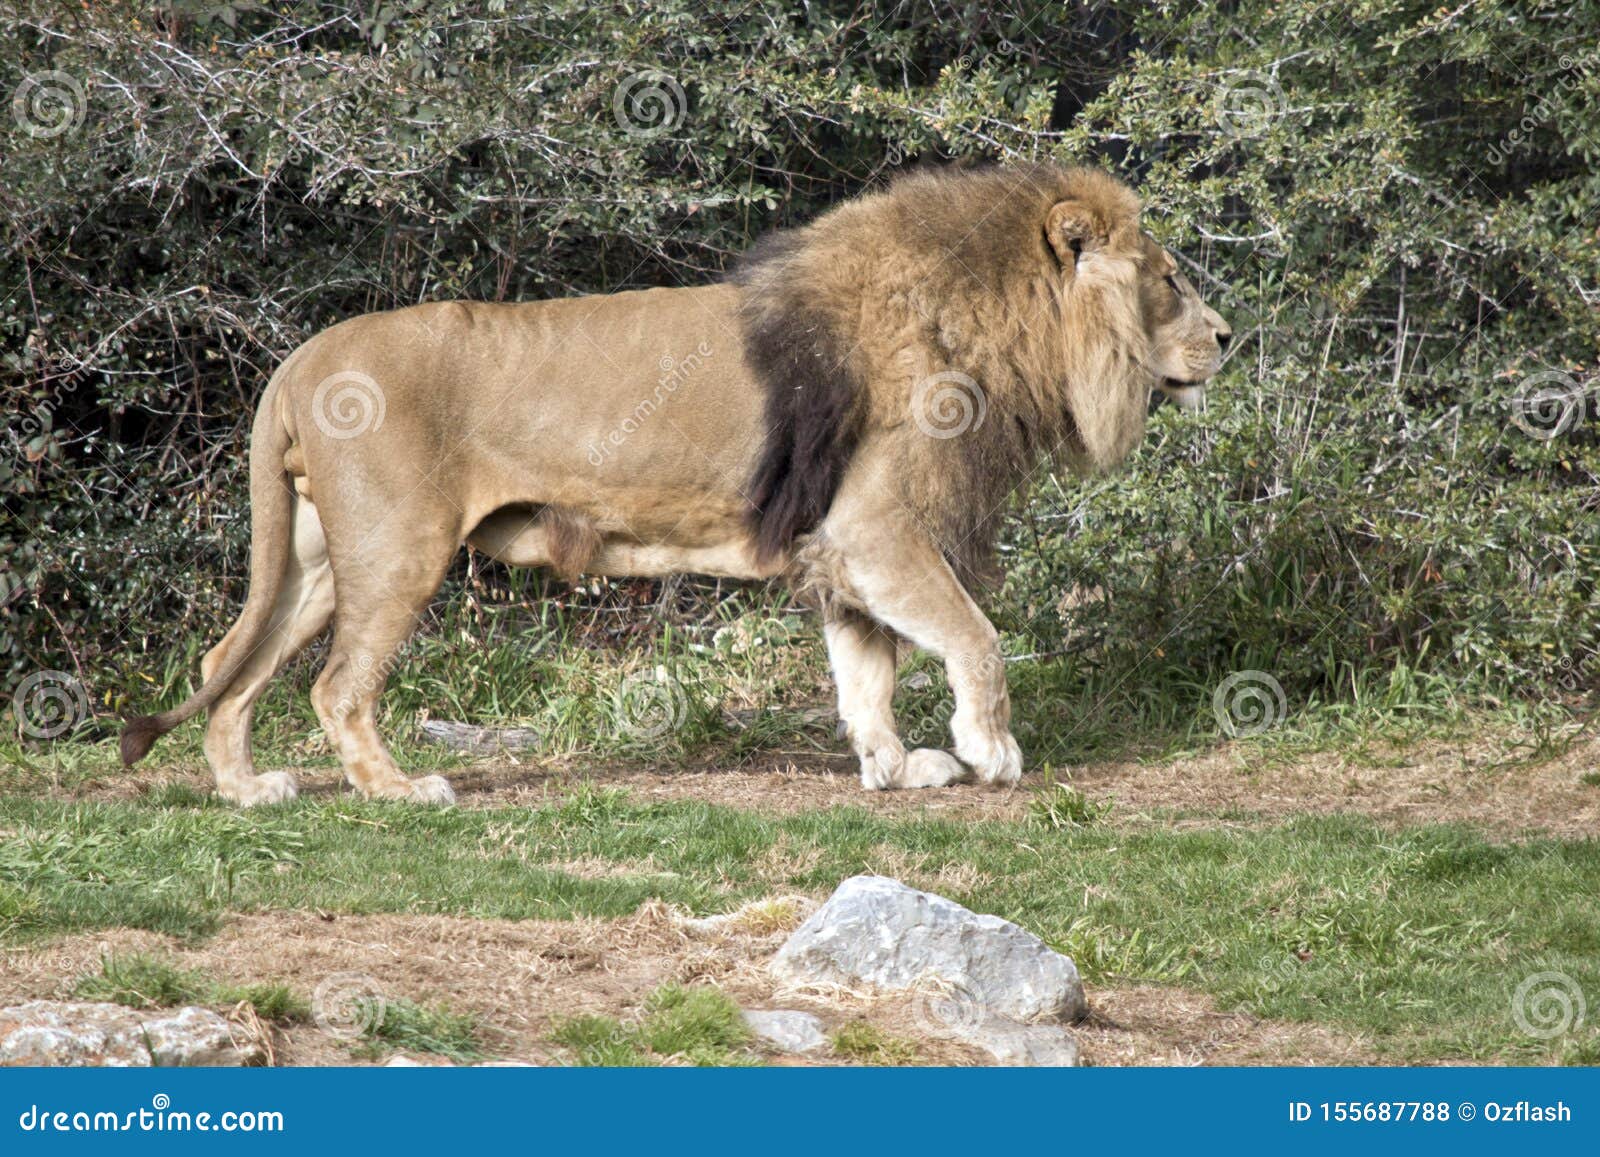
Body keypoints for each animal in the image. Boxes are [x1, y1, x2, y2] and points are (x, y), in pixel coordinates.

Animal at [120, 163, 1230, 805]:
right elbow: (975, 638)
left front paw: (891, 765)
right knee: (336, 684)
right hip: (398, 548)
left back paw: (247, 789)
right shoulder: (880, 528)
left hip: (316, 558)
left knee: (230, 660)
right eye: (1170, 280)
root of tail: (300, 358)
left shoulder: (839, 545)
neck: (997, 325)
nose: (1228, 336)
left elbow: (864, 669)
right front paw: (990, 752)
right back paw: (398, 790)